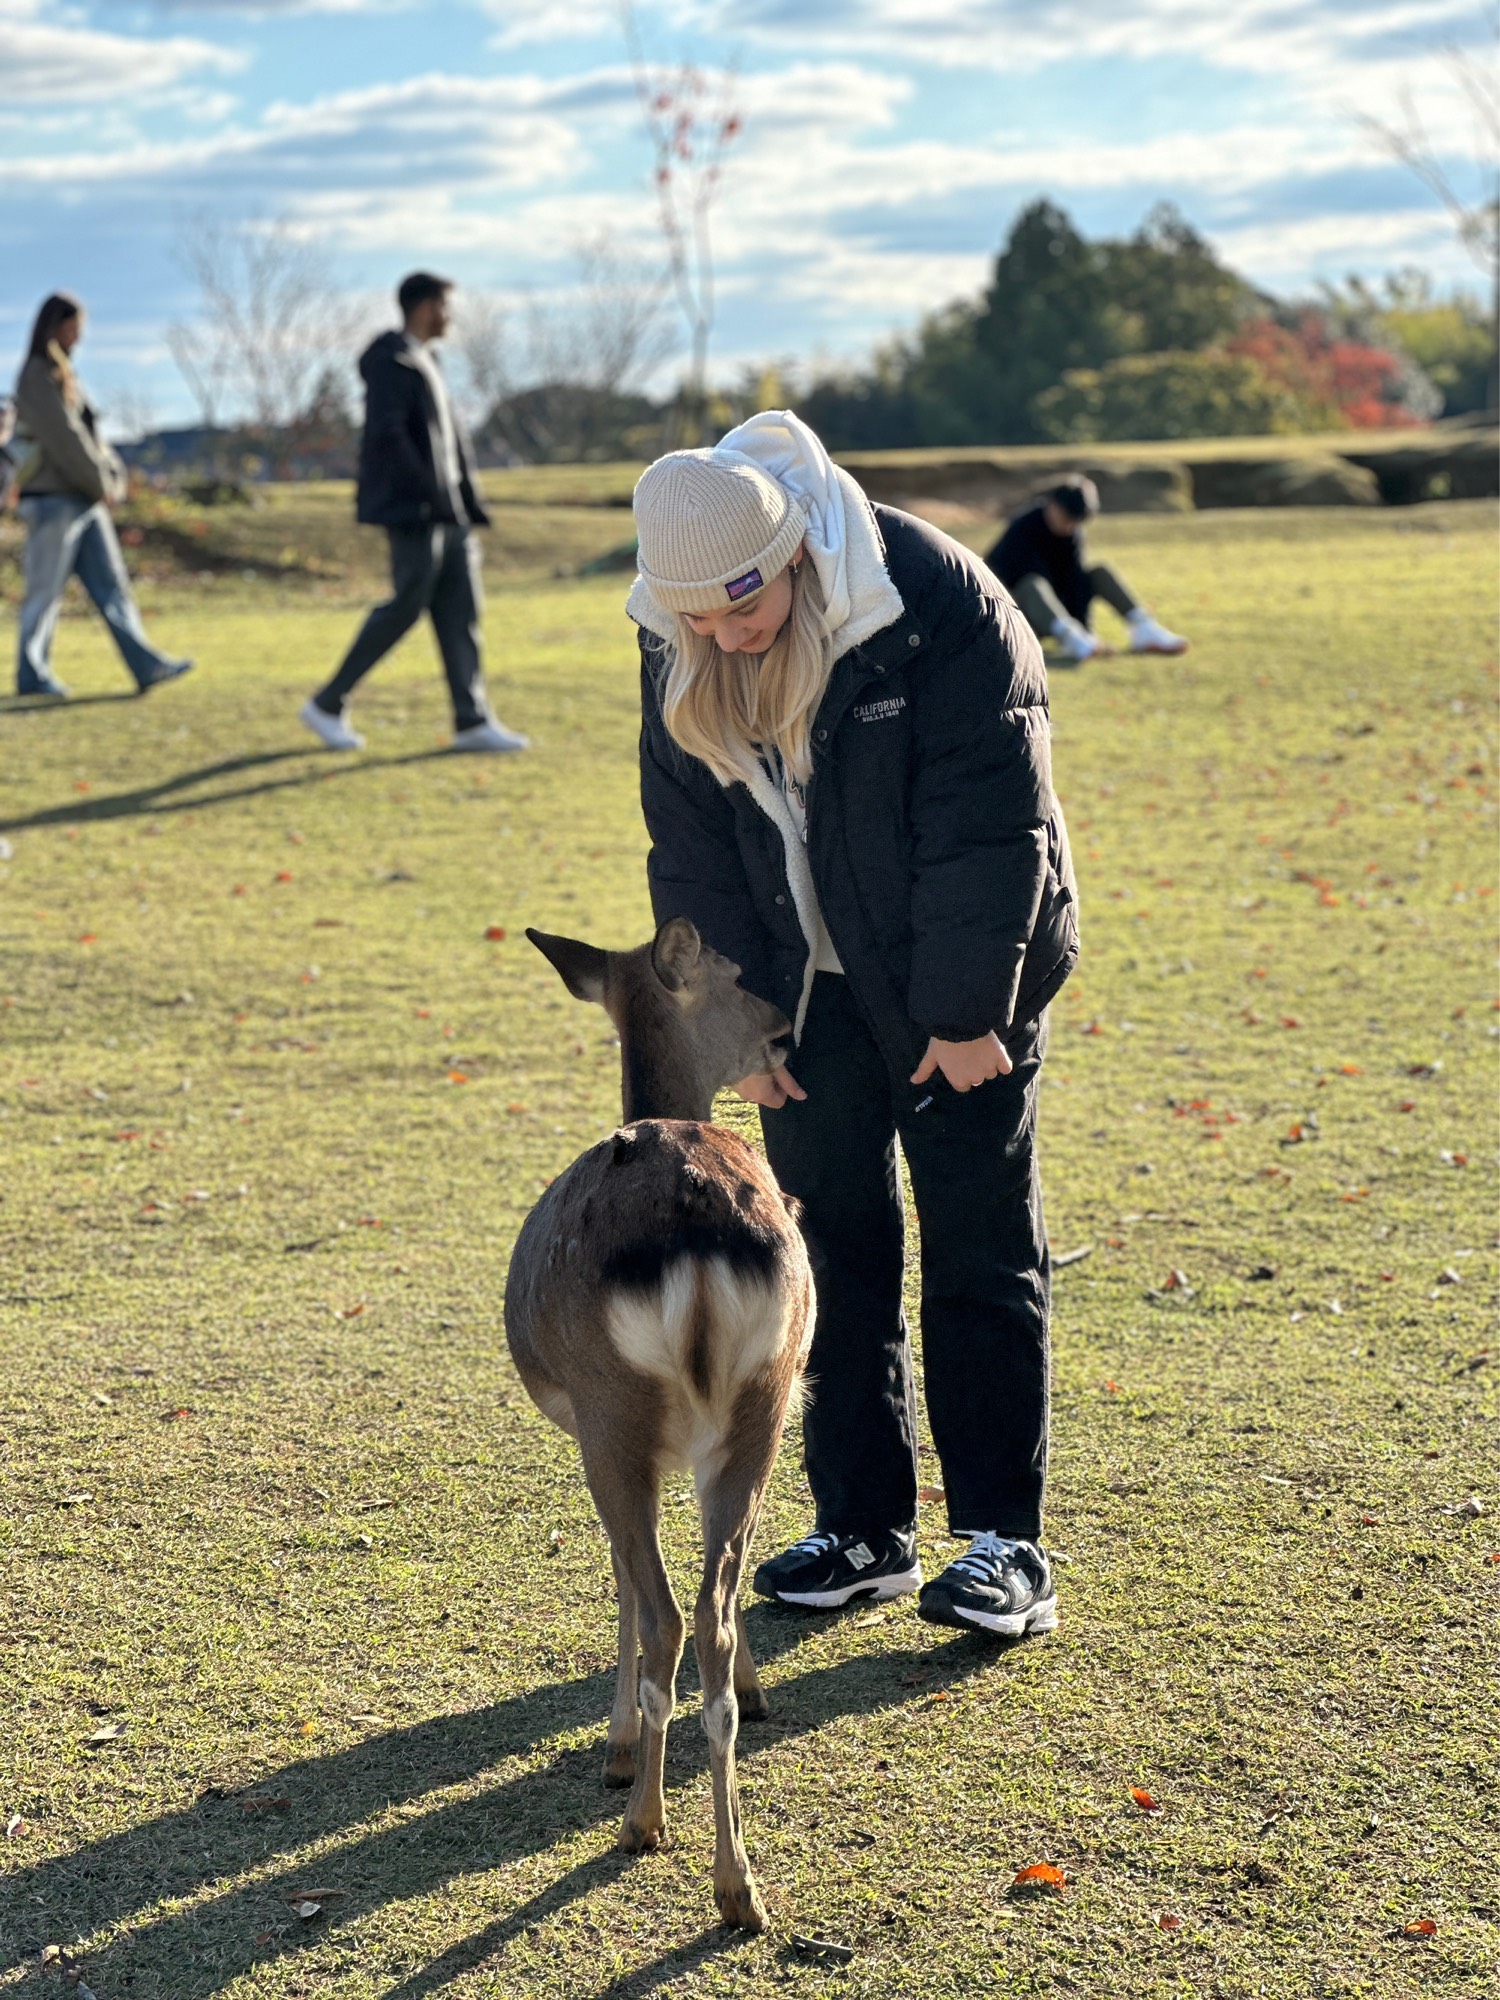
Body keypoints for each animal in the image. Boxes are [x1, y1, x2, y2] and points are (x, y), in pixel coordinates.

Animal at [502, 916, 812, 1928]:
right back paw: (738, 1884)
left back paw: (643, 1820)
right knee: (709, 1615)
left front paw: (615, 1750)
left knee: (672, 1619)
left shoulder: (591, 1440)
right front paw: (758, 1691)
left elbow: (624, 1587)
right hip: (768, 1398)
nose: (786, 1030)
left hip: (615, 1415)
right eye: (739, 971)